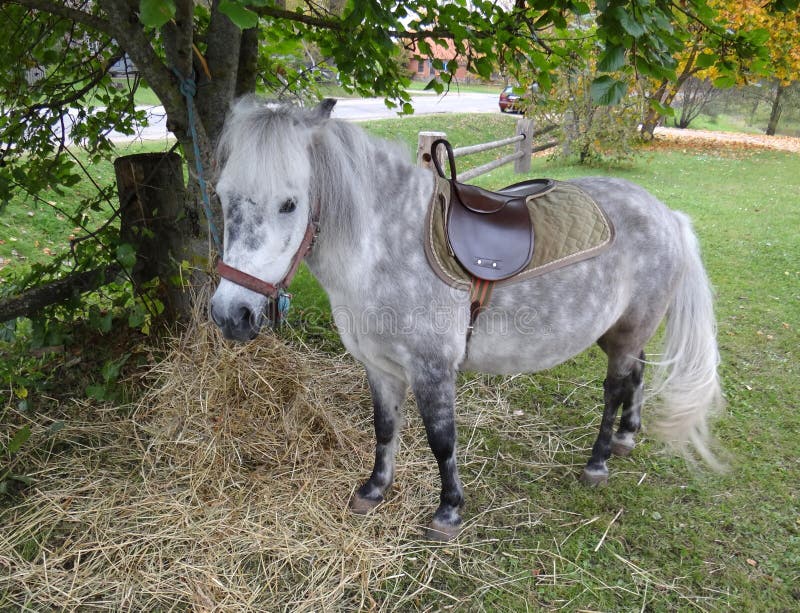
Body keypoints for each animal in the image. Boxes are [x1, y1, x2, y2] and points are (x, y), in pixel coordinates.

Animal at [209, 97, 723, 541]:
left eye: (289, 203)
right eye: (221, 197)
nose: (230, 315)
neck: (382, 250)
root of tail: (667, 215)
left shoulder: (432, 370)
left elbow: (441, 440)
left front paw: (448, 511)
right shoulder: (379, 368)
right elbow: (384, 429)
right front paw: (374, 491)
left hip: (628, 330)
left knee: (615, 387)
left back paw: (598, 462)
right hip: (619, 330)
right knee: (637, 372)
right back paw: (626, 438)